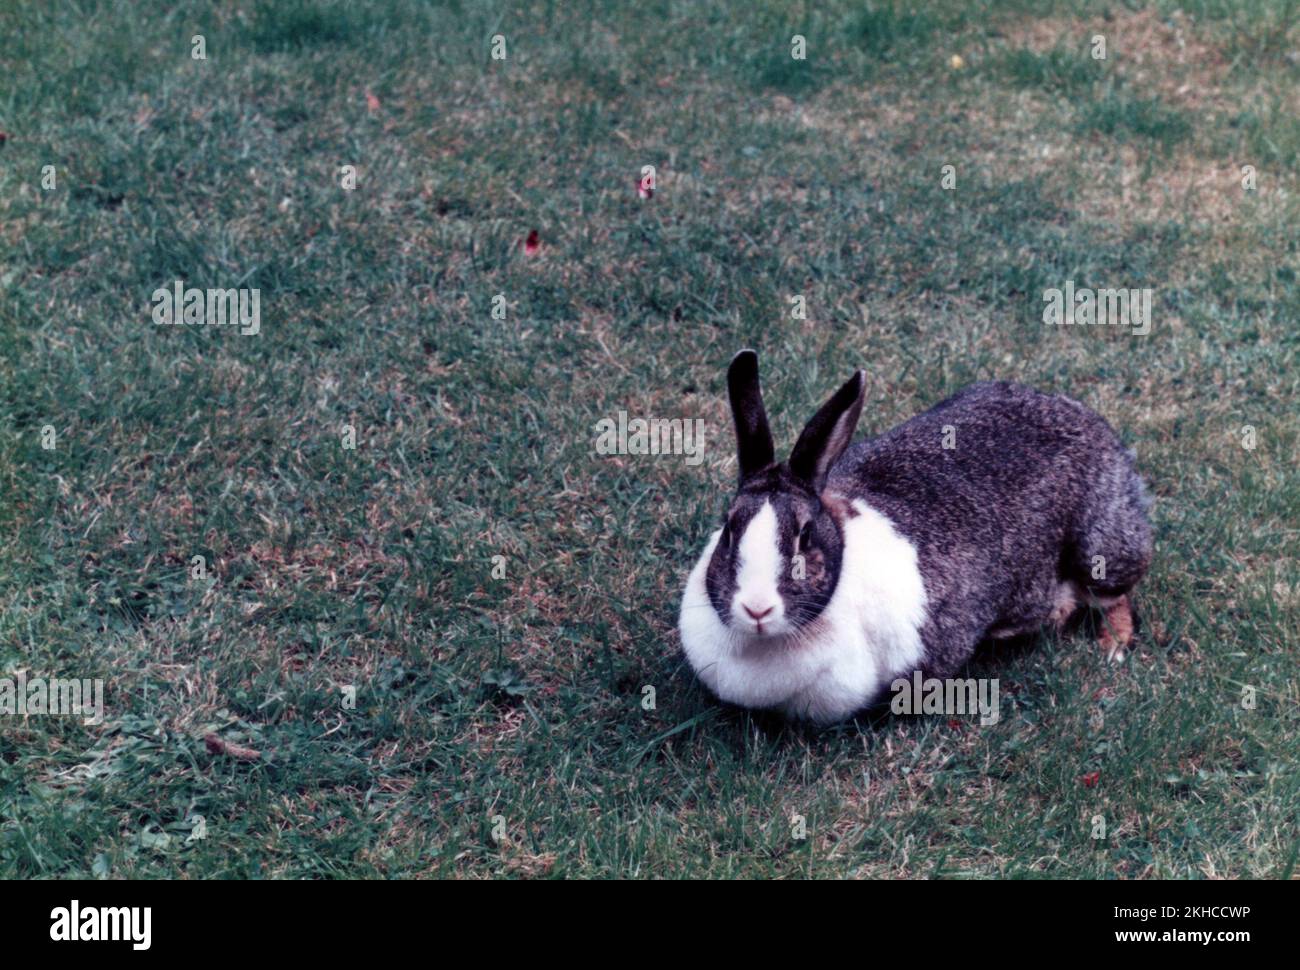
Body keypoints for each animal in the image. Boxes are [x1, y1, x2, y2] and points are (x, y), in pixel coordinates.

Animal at [679, 350, 1153, 725]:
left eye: (805, 536)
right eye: (729, 528)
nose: (756, 609)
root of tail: (1096, 426)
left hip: (1101, 549)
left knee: (1115, 596)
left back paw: (1110, 647)